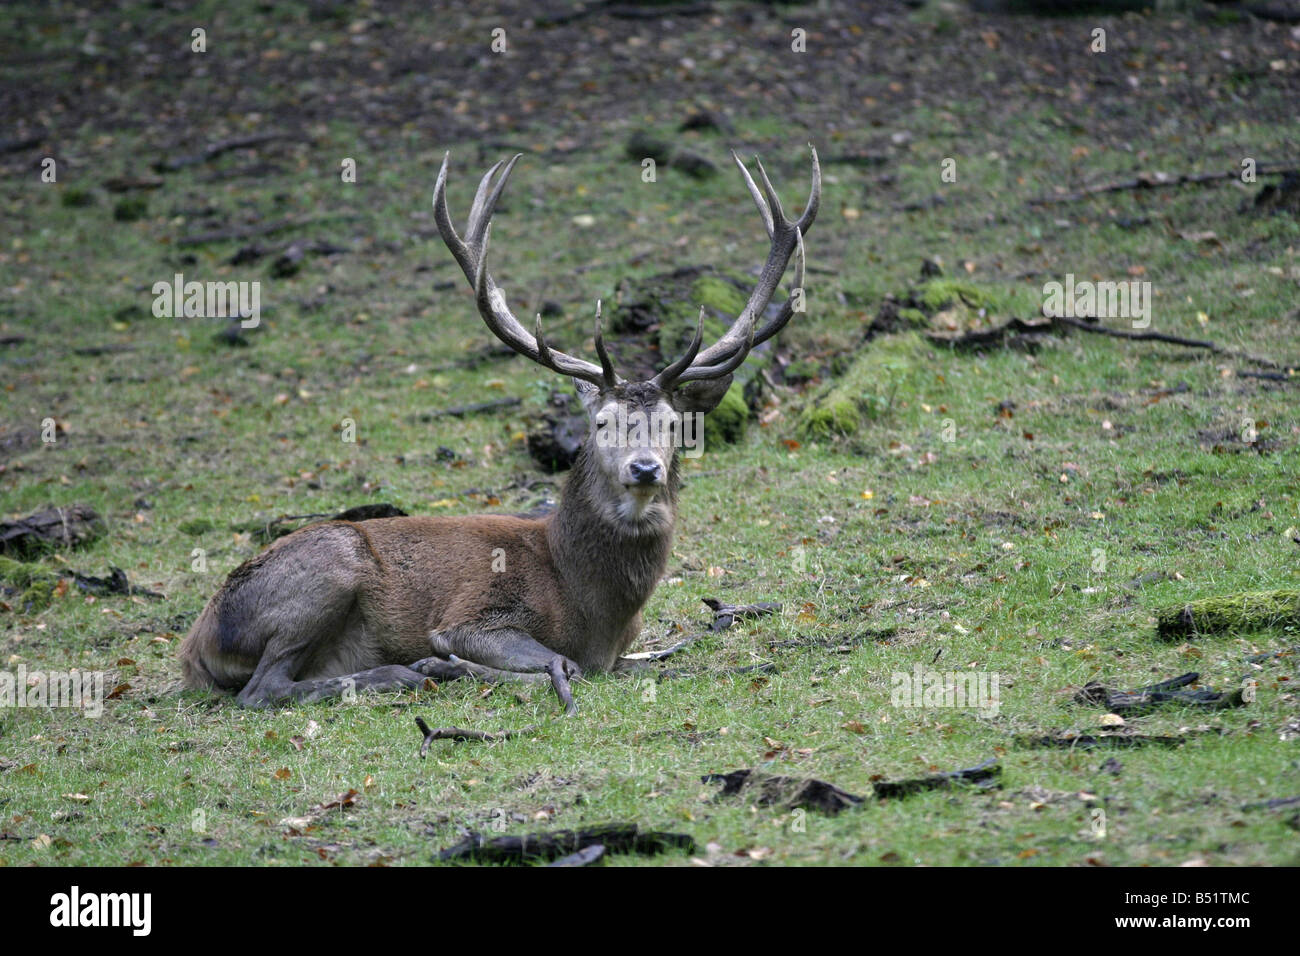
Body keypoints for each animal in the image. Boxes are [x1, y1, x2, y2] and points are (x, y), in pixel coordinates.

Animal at [178, 145, 820, 713]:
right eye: (601, 420)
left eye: (673, 423)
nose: (645, 468)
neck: (590, 605)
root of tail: (195, 645)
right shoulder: (474, 615)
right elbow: (561, 664)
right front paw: (446, 664)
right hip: (327, 571)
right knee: (263, 689)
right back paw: (397, 673)